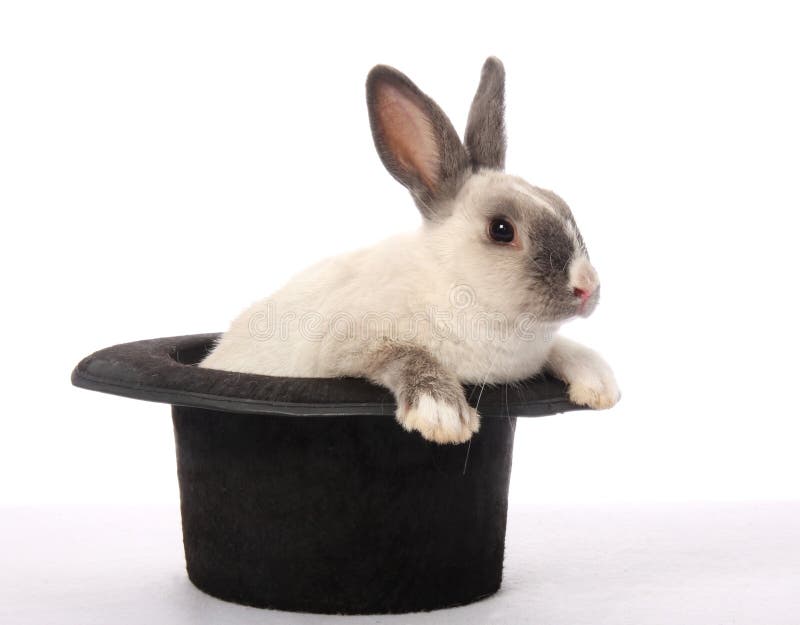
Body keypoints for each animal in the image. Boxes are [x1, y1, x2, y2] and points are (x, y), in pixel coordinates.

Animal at [200, 57, 620, 444]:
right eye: (501, 230)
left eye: (561, 204)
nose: (587, 287)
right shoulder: (347, 343)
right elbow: (407, 354)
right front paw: (444, 415)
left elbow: (561, 347)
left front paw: (600, 384)